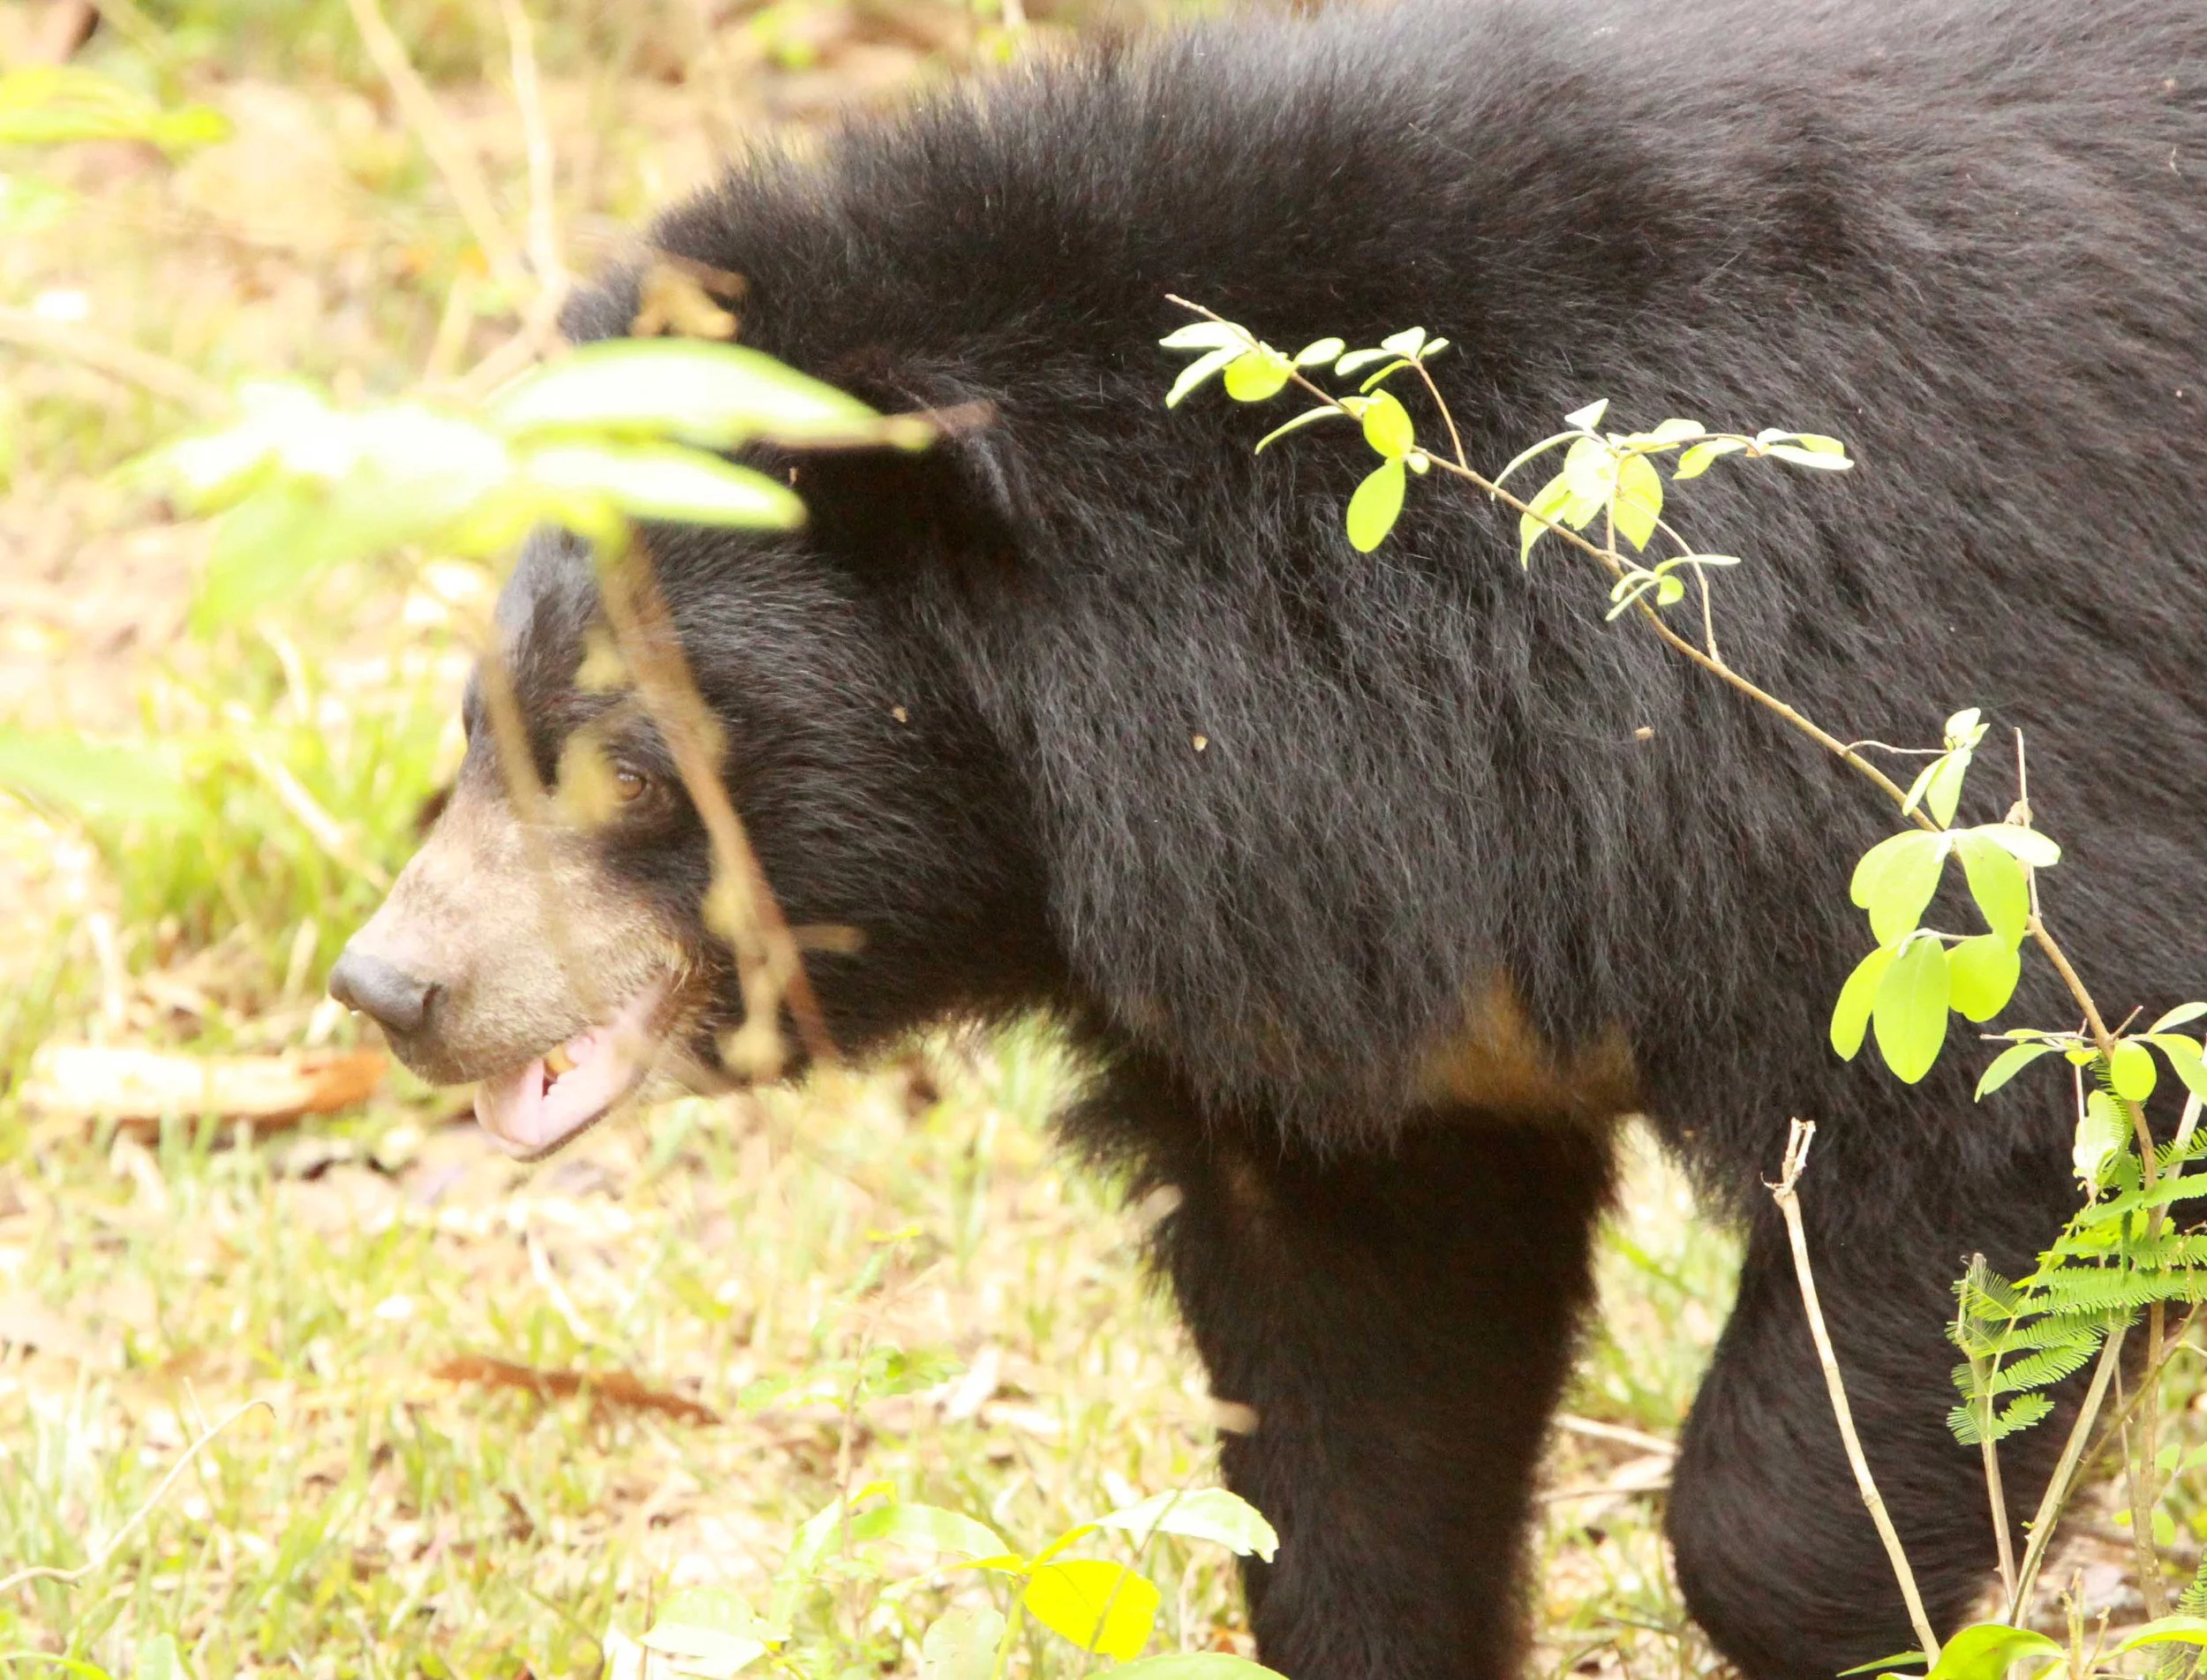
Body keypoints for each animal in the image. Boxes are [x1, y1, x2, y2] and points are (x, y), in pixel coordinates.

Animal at [324, 0, 2207, 1675]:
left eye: (631, 771)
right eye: (476, 726)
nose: (391, 987)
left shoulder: (1889, 739)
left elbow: (2009, 1100)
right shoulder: (1369, 988)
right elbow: (1360, 1398)